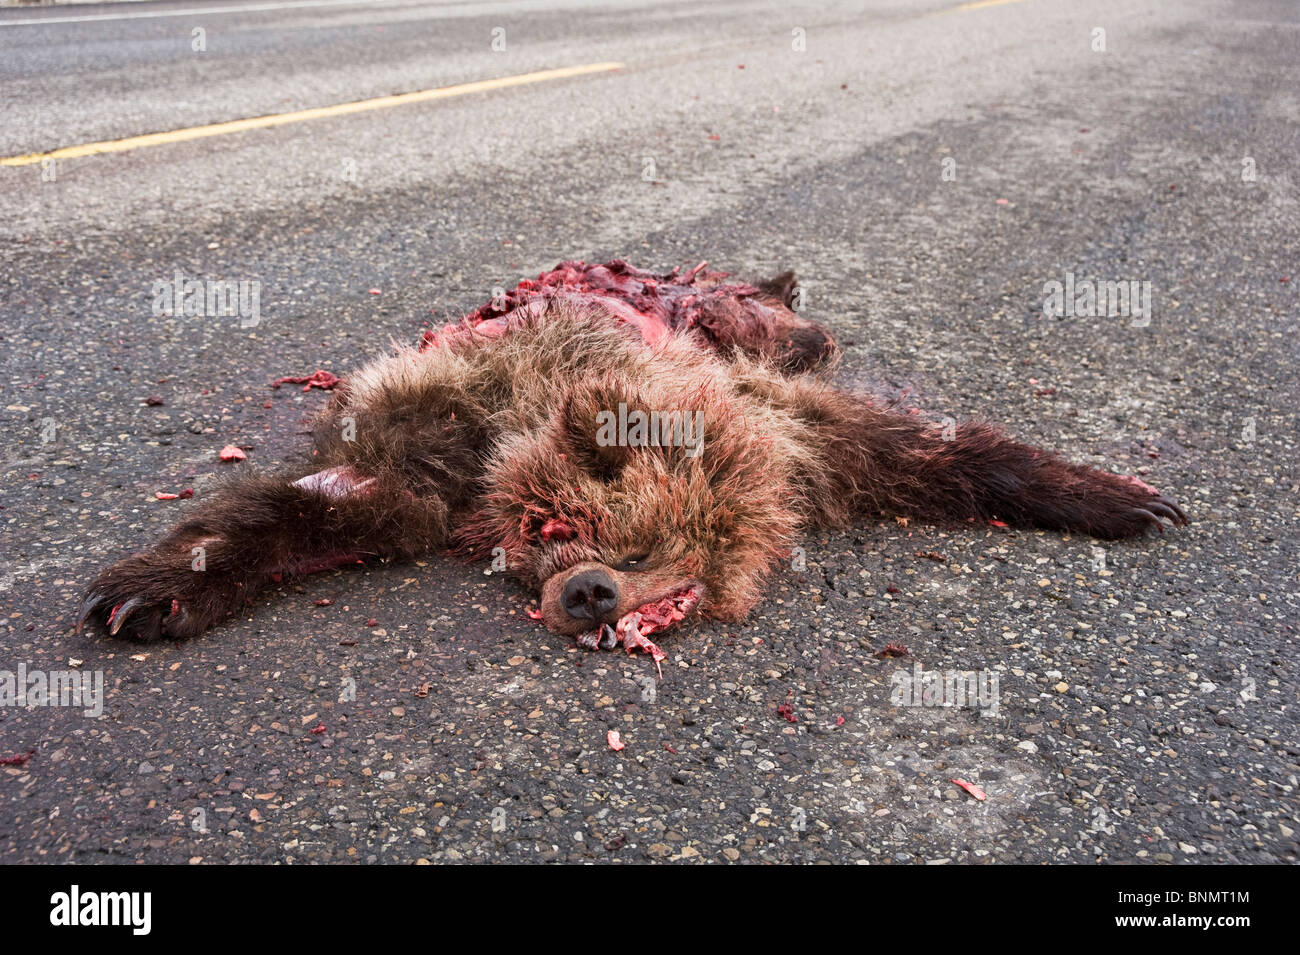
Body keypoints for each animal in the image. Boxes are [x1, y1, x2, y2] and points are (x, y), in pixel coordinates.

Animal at [77, 259, 1187, 663]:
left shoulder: (792, 429)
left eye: (660, 554)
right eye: (571, 529)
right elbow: (325, 502)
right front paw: (162, 582)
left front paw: (1106, 494)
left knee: (794, 332)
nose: (590, 594)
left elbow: (924, 448)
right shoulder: (433, 438)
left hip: (733, 325)